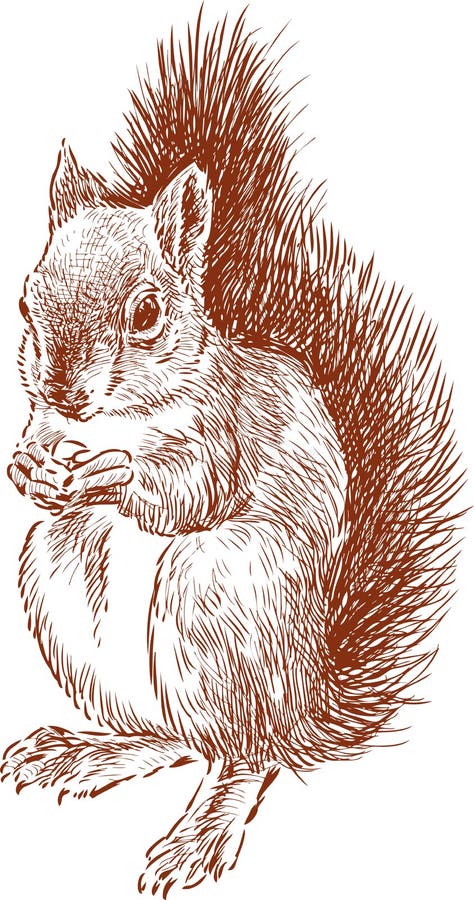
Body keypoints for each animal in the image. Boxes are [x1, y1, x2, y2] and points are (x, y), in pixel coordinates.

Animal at [2, 10, 460, 896]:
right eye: (27, 299)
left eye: (147, 312)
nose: (67, 393)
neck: (112, 419)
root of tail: (303, 704)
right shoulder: (46, 423)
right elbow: (33, 449)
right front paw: (27, 470)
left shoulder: (223, 429)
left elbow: (190, 491)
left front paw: (113, 476)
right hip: (61, 584)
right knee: (177, 738)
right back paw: (87, 752)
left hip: (213, 600)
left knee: (243, 755)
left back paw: (202, 831)